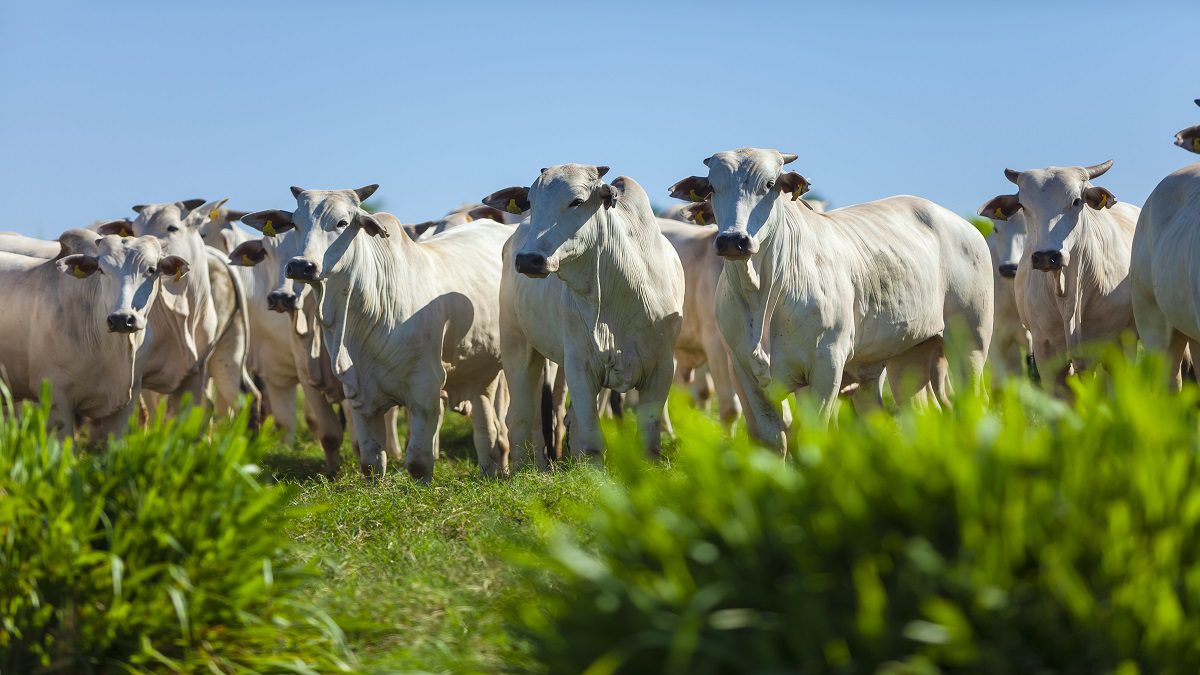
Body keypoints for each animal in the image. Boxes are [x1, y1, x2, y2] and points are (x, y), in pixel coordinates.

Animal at [241, 185, 511, 481]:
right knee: (486, 426)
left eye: (342, 222)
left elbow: (418, 463)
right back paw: (490, 471)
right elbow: (369, 460)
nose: (301, 266)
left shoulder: (425, 389)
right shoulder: (357, 391)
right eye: (296, 224)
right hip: (479, 372)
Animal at [483, 165, 685, 467]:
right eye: (531, 201)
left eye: (577, 201)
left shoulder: (662, 367)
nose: (529, 260)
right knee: (520, 419)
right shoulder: (580, 367)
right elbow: (591, 443)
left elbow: (649, 441)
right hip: (516, 345)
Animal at [670, 148, 992, 450]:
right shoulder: (743, 371)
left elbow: (811, 436)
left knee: (974, 401)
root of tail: (964, 226)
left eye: (770, 184)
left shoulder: (826, 367)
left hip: (971, 342)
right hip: (909, 352)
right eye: (712, 187)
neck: (761, 292)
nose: (732, 240)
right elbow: (773, 440)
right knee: (921, 412)